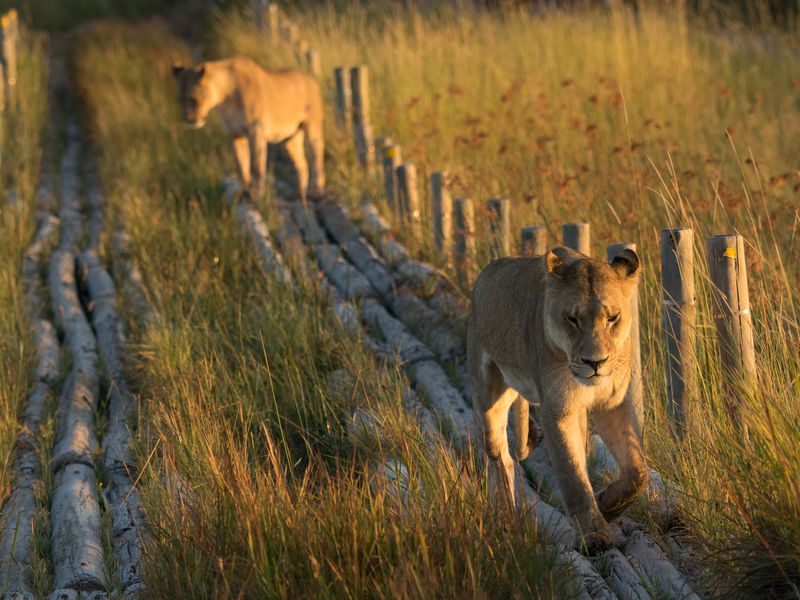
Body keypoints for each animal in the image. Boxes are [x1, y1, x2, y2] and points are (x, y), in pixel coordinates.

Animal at [172, 56, 325, 200]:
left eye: (193, 99)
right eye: (179, 99)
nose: (188, 120)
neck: (225, 98)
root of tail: (311, 79)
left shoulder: (256, 130)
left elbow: (256, 165)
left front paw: (256, 192)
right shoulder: (234, 133)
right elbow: (241, 164)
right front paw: (244, 191)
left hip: (312, 127)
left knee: (316, 158)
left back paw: (316, 191)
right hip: (289, 139)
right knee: (303, 165)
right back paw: (299, 193)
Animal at [467, 246, 648, 551]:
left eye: (612, 318)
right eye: (572, 319)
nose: (595, 362)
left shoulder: (612, 404)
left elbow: (637, 472)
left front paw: (605, 506)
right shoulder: (558, 410)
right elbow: (572, 475)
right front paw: (594, 535)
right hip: (489, 394)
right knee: (500, 459)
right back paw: (507, 521)